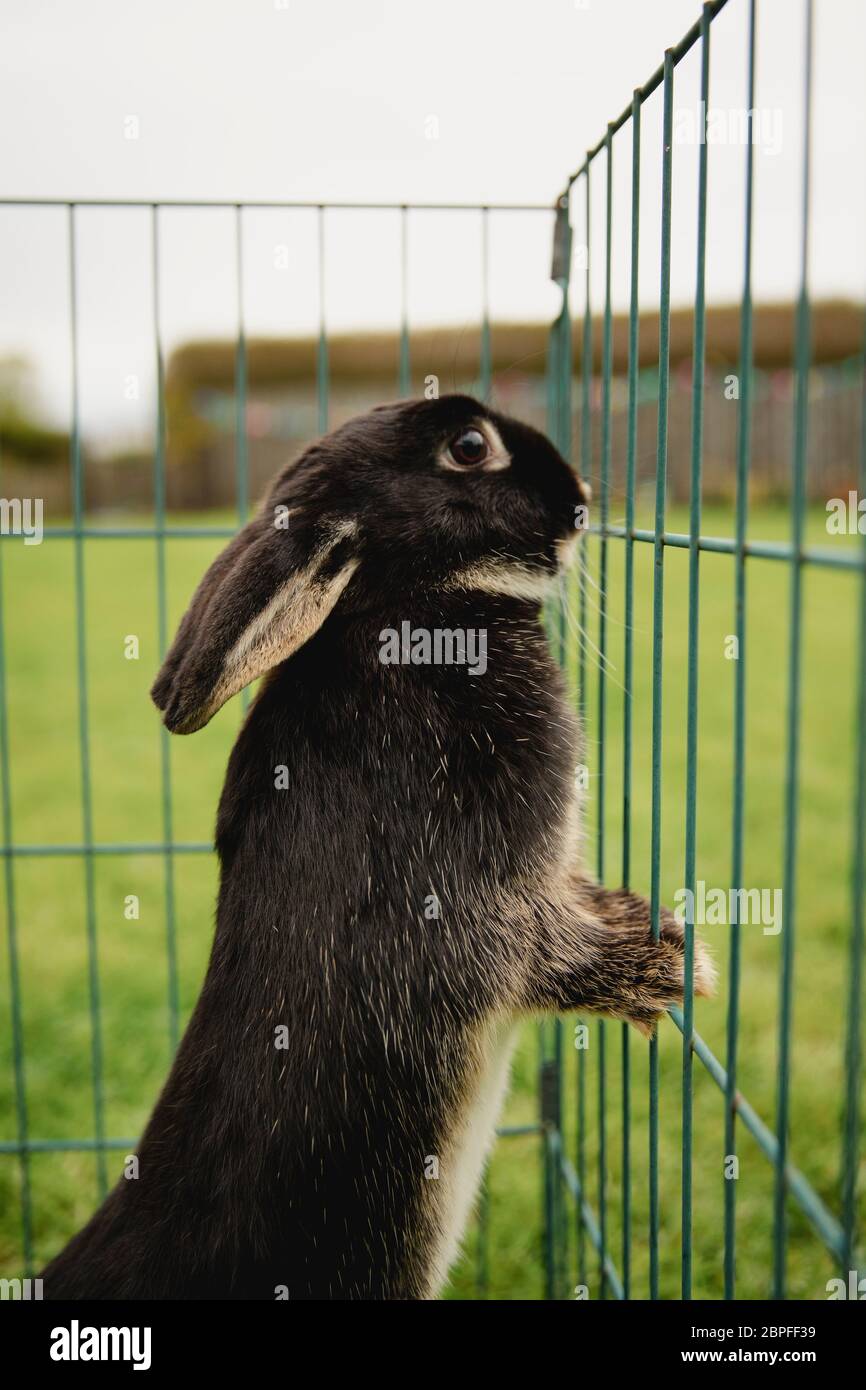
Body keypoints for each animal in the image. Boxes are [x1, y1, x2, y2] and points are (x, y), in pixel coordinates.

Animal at [41, 394, 714, 1301]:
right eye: (468, 446)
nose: (579, 495)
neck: (417, 610)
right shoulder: (464, 898)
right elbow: (541, 953)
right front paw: (669, 966)